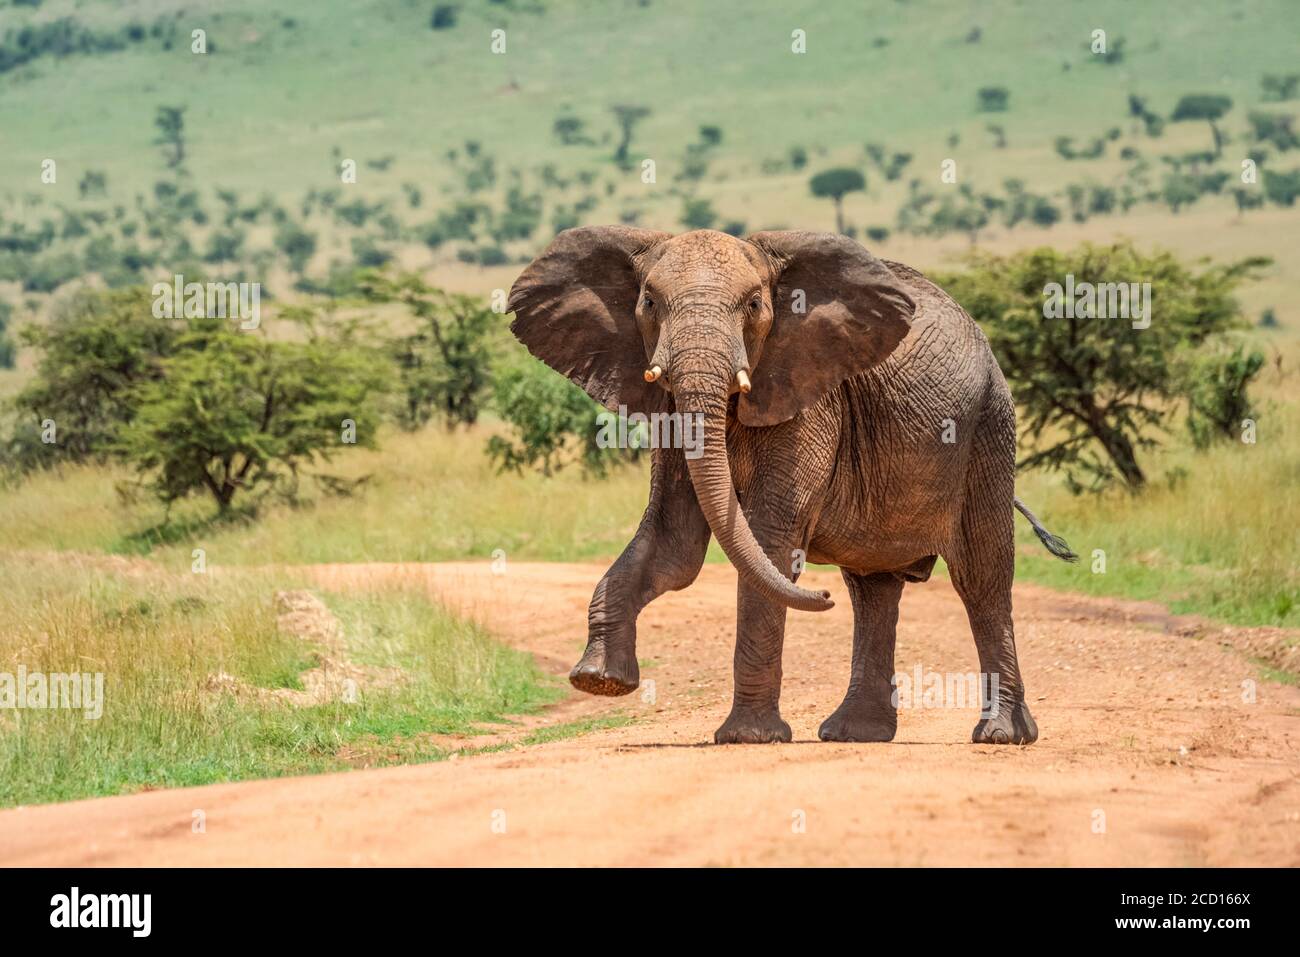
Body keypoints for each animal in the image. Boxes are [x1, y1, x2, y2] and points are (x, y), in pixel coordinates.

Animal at [507, 227, 1076, 746]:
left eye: (755, 304)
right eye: (649, 302)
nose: (819, 594)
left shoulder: (810, 398)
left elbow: (769, 540)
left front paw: (748, 738)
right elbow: (673, 544)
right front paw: (600, 681)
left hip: (989, 426)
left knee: (982, 577)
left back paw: (1001, 736)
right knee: (873, 589)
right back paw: (854, 734)